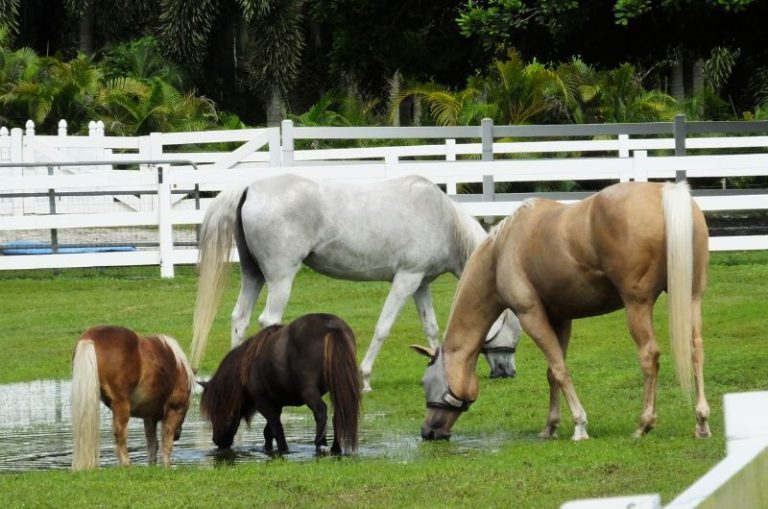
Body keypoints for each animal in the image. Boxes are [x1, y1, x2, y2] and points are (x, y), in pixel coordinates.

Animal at [70, 325, 193, 470]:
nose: (178, 435)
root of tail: (90, 338)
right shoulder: (173, 411)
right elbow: (166, 443)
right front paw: (166, 466)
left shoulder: (149, 417)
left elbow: (153, 444)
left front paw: (152, 466)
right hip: (121, 405)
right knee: (120, 434)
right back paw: (126, 463)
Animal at [189, 173, 520, 391]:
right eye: (514, 331)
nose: (508, 372)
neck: (441, 218)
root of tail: (250, 188)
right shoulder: (406, 279)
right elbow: (383, 327)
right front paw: (365, 378)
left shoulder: (421, 284)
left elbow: (431, 327)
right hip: (280, 279)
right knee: (267, 321)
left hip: (252, 275)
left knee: (239, 319)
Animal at [199, 313, 361, 455]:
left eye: (215, 409)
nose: (217, 441)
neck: (248, 366)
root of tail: (332, 327)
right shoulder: (276, 404)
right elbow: (268, 431)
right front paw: (268, 450)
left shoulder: (264, 403)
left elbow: (276, 429)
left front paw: (283, 450)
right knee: (339, 413)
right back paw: (336, 448)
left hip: (309, 391)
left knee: (320, 412)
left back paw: (320, 445)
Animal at [413, 181, 711, 442]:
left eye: (426, 382)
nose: (427, 432)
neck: (501, 251)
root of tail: (665, 191)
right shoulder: (560, 319)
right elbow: (552, 372)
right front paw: (550, 426)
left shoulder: (531, 316)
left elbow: (559, 369)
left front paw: (579, 425)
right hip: (694, 297)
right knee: (696, 348)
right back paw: (701, 421)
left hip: (637, 305)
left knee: (649, 355)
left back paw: (644, 423)